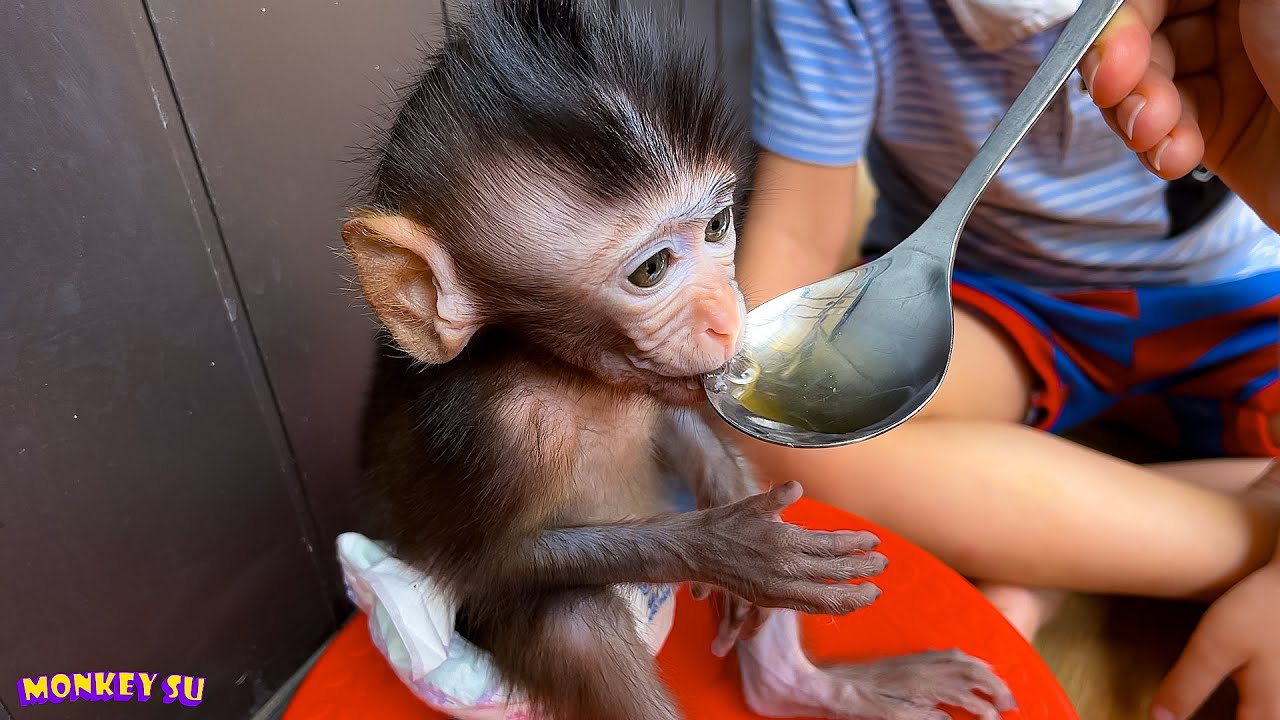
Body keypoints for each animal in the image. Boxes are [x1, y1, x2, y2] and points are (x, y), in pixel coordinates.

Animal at [339, 1, 1017, 719]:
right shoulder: (486, 435)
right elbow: (488, 567)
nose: (727, 316)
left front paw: (730, 507)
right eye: (652, 270)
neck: (560, 372)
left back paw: (804, 687)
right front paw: (731, 549)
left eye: (717, 226)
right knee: (571, 619)